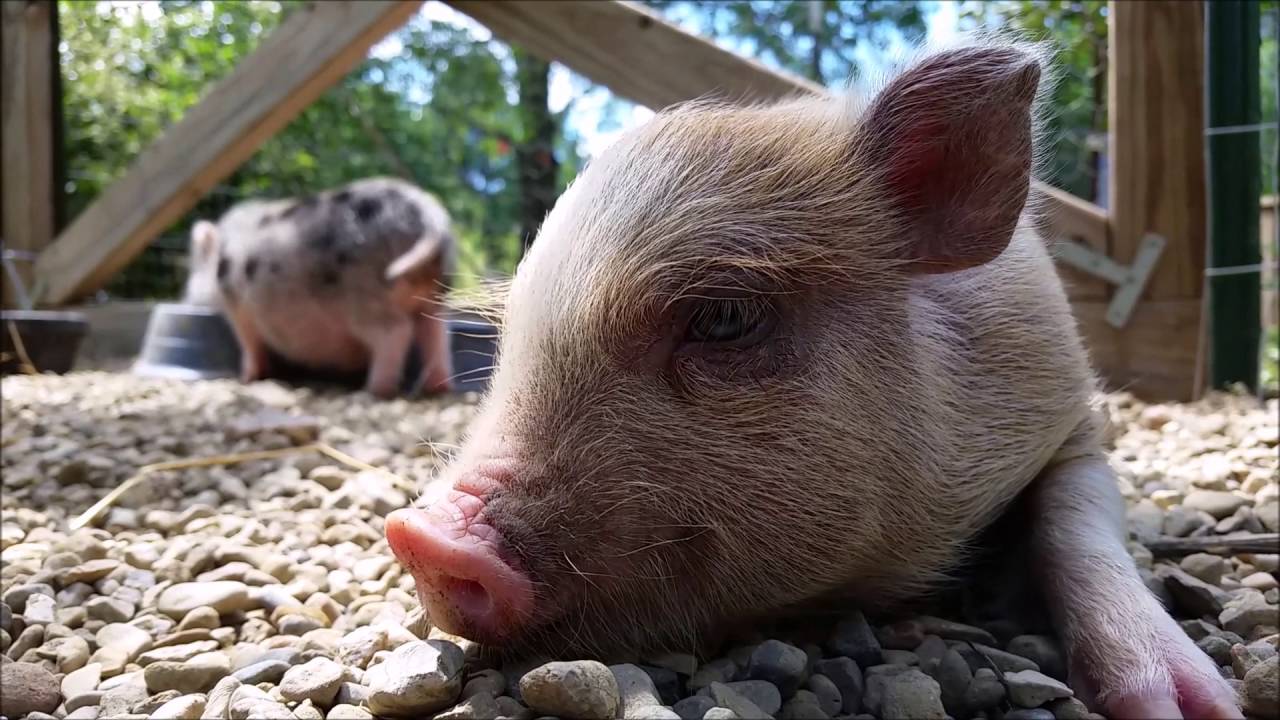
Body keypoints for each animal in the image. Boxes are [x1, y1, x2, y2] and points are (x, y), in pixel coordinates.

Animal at [184, 177, 455, 398]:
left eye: (196, 267)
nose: (187, 296)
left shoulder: (239, 307)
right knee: (436, 334)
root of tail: (427, 215)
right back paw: (437, 387)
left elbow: (249, 342)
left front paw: (247, 378)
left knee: (396, 332)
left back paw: (373, 390)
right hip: (433, 295)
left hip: (367, 298)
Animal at [385, 40, 1243, 720]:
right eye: (509, 334)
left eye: (724, 315)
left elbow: (1080, 520)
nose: (421, 535)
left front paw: (1189, 709)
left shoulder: (1071, 410)